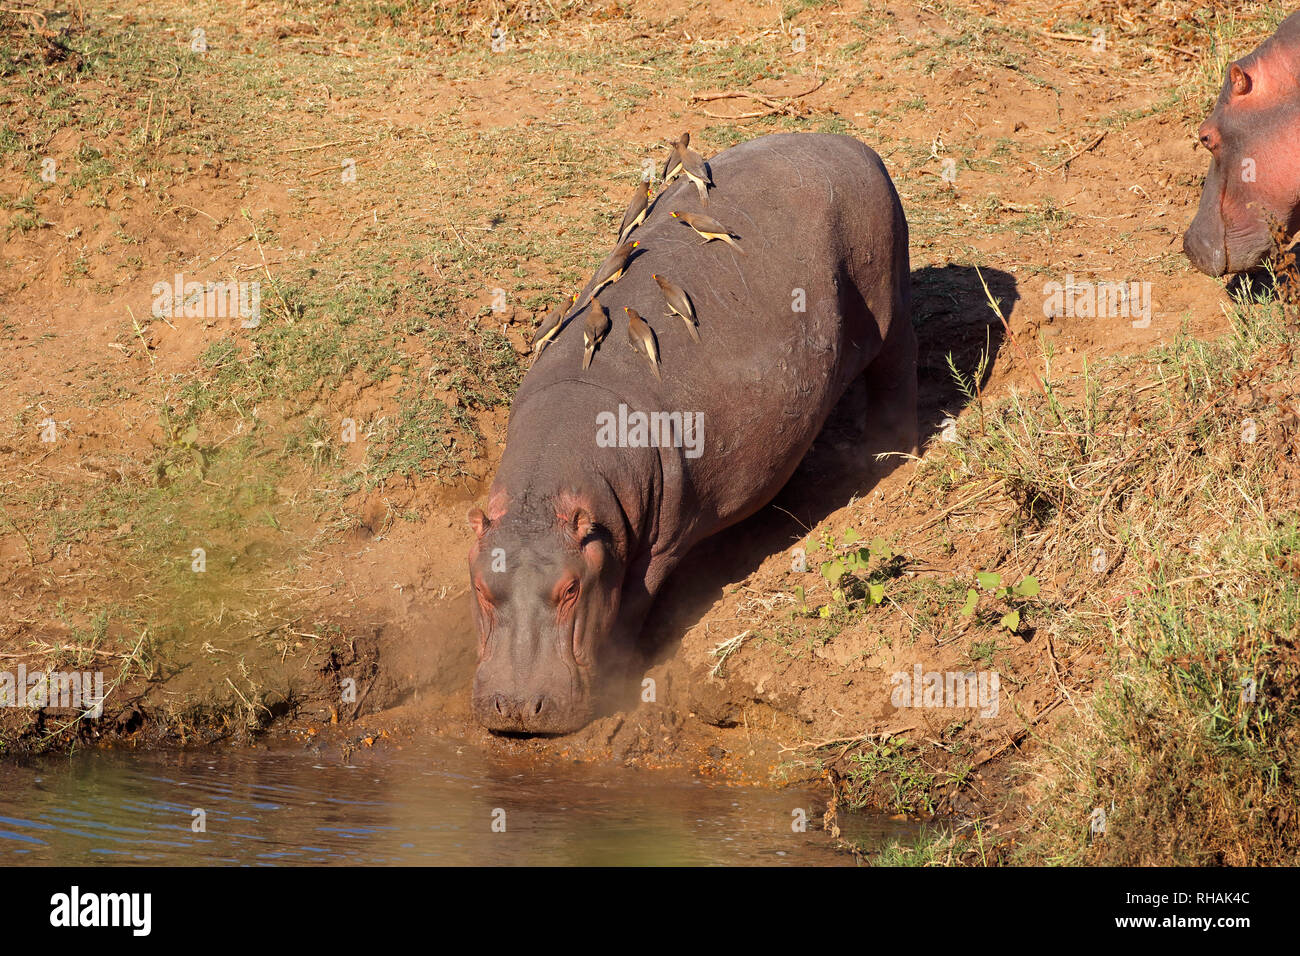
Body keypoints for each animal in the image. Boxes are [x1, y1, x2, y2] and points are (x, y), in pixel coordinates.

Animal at [467, 132, 916, 733]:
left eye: (571, 589)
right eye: (481, 587)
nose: (516, 708)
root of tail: (853, 142)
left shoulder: (662, 540)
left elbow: (633, 602)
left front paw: (621, 673)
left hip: (889, 295)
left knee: (898, 371)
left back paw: (887, 458)